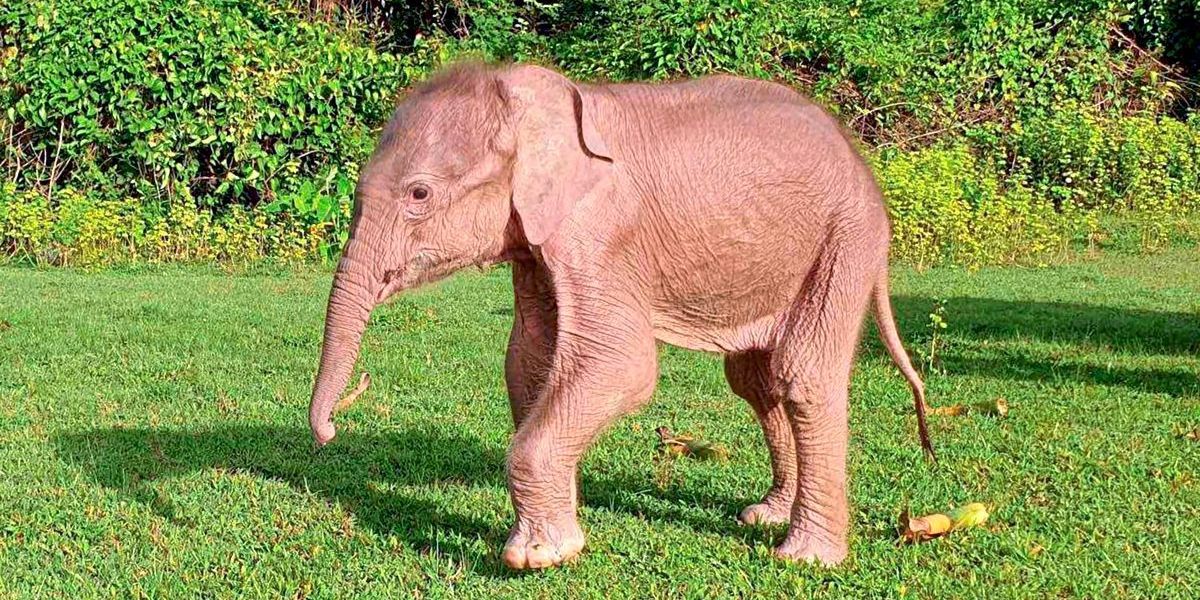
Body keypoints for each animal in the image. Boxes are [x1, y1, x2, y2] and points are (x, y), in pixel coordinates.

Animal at [308, 61, 933, 570]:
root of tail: (861, 163)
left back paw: (806, 556)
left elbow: (621, 364)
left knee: (803, 375)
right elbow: (528, 361)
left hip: (845, 238)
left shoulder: (603, 234)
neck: (530, 96)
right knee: (754, 379)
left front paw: (539, 556)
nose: (330, 431)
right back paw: (766, 516)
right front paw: (557, 530)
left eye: (419, 195)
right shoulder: (539, 243)